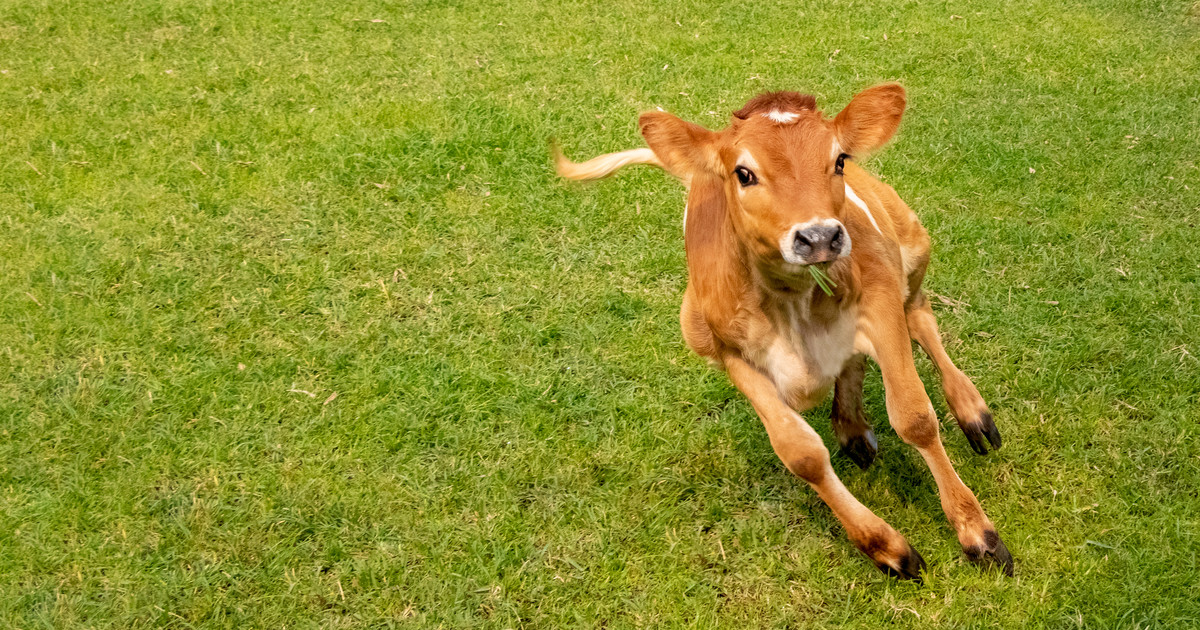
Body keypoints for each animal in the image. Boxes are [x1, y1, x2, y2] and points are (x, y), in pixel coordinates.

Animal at [554, 84, 1012, 580]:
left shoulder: (881, 299)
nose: (819, 237)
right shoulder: (728, 350)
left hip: (910, 242)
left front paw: (978, 533)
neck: (794, 302)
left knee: (921, 317)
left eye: (839, 160)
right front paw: (885, 547)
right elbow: (801, 453)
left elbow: (915, 417)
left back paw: (971, 412)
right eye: (744, 173)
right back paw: (852, 427)